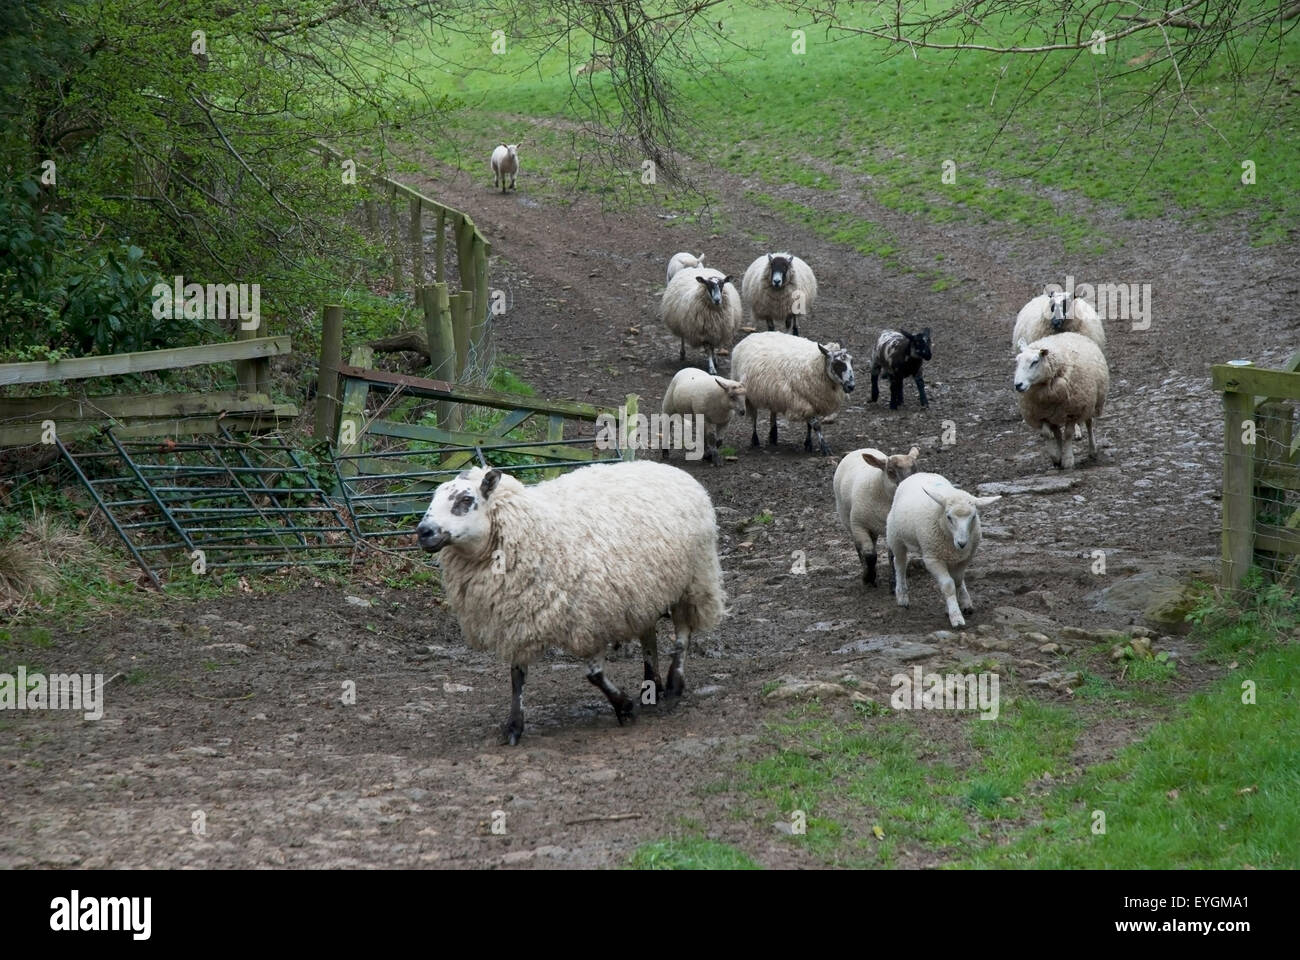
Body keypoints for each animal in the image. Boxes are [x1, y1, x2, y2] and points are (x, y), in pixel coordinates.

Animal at [416, 461, 725, 745]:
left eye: (465, 501)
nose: (423, 531)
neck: (529, 531)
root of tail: (669, 468)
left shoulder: (590, 616)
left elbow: (595, 675)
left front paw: (624, 708)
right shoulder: (516, 618)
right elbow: (517, 678)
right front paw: (514, 726)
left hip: (693, 579)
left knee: (682, 634)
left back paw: (673, 686)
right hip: (644, 590)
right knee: (648, 635)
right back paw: (652, 685)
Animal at [833, 445, 921, 586]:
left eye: (915, 469)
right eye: (890, 471)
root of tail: (860, 449)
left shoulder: (893, 530)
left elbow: (893, 556)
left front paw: (893, 583)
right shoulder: (859, 526)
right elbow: (870, 555)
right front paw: (868, 577)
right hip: (847, 519)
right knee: (860, 548)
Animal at [885, 473, 1000, 628]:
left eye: (973, 516)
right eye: (949, 517)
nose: (962, 543)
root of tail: (920, 473)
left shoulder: (965, 558)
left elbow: (957, 581)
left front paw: (952, 606)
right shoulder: (933, 558)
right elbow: (948, 585)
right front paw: (956, 617)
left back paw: (966, 601)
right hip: (895, 538)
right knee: (900, 564)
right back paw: (902, 596)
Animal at [1013, 332, 1109, 470]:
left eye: (1035, 362)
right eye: (1017, 361)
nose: (1018, 385)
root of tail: (1069, 333)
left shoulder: (1073, 412)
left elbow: (1068, 434)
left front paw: (1068, 460)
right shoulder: (1041, 414)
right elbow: (1047, 434)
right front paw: (1056, 457)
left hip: (1089, 403)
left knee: (1089, 423)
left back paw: (1092, 451)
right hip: (1055, 414)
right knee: (1057, 433)